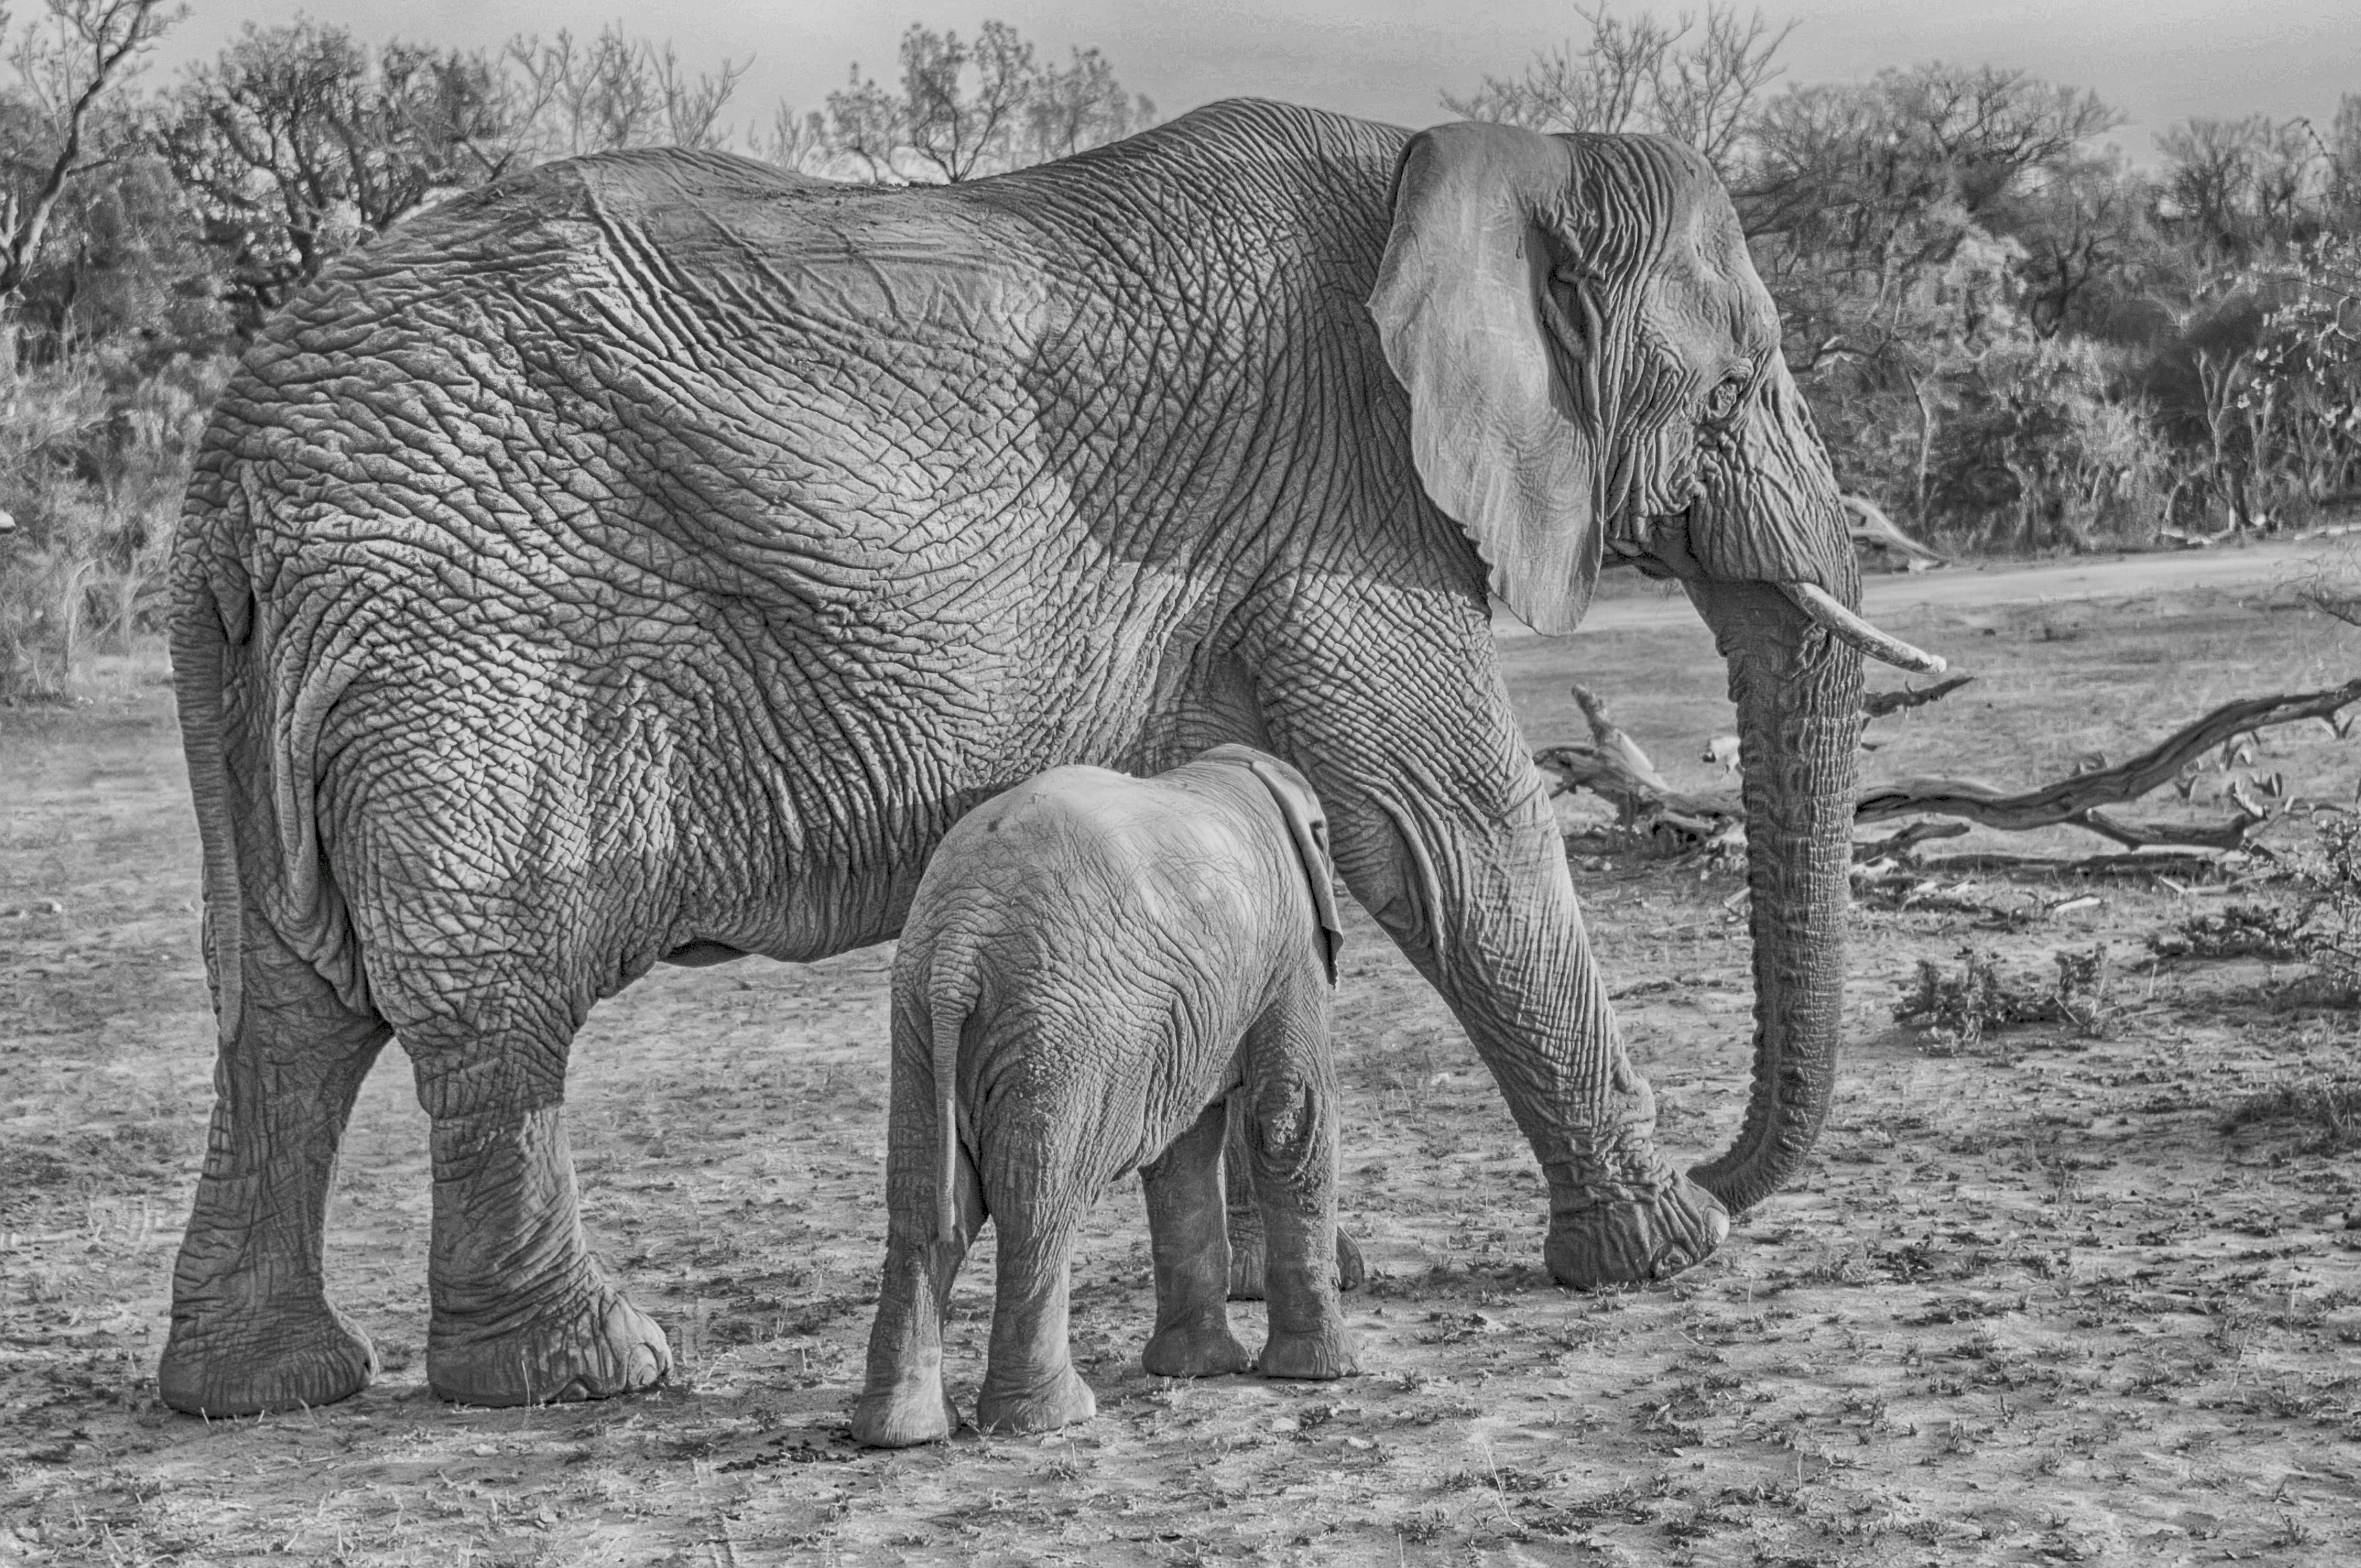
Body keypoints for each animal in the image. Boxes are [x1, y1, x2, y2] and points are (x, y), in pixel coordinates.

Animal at [851, 745, 1356, 1448]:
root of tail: (958, 942)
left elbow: (1181, 1151)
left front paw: (1196, 1369)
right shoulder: (1290, 951)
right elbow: (1288, 1116)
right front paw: (1324, 1373)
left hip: (920, 1023)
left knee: (926, 1201)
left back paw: (904, 1431)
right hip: (1064, 1034)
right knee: (1038, 1204)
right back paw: (1051, 1416)